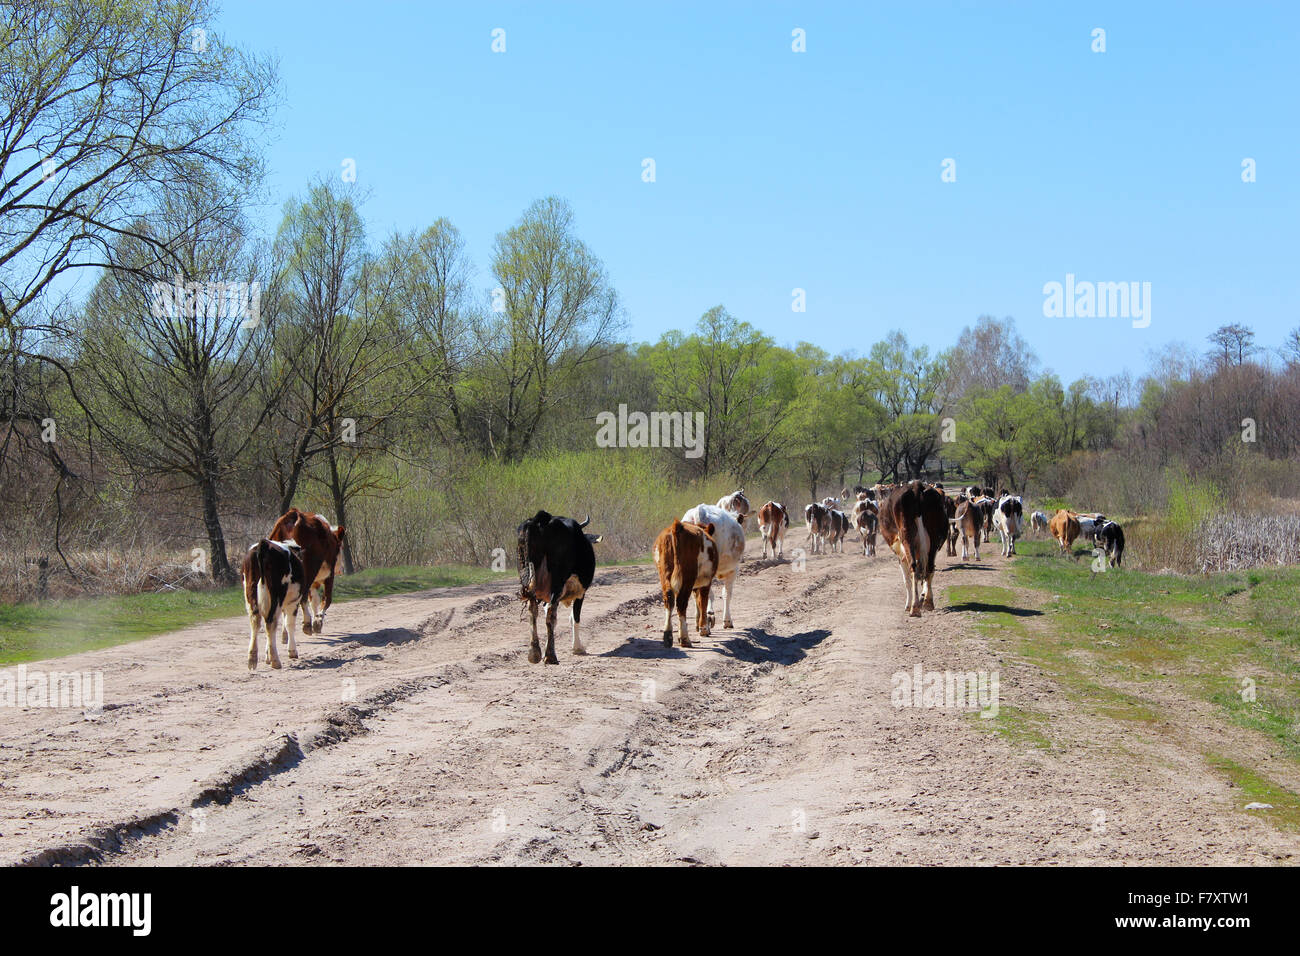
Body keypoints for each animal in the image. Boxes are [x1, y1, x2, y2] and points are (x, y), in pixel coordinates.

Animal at [242, 538, 306, 671]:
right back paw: (275, 660)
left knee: (256, 621)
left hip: (250, 593)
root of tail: (264, 544)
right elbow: (289, 624)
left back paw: (252, 659)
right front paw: (292, 651)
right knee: (270, 623)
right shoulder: (293, 602)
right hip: (276, 597)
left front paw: (267, 656)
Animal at [517, 511, 599, 664]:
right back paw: (550, 655)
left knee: (532, 611)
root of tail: (541, 520)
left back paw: (534, 653)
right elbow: (575, 618)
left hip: (527, 576)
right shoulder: (580, 592)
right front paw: (578, 648)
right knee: (550, 615)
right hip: (557, 583)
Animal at [653, 520, 719, 648]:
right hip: (688, 576)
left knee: (669, 599)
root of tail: (677, 526)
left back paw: (668, 637)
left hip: (665, 573)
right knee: (681, 603)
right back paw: (684, 639)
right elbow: (703, 601)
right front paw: (704, 628)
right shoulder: (706, 582)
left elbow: (698, 601)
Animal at [878, 480, 948, 617]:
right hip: (934, 538)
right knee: (929, 568)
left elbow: (907, 580)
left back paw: (914, 608)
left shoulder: (900, 554)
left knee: (914, 568)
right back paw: (928, 602)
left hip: (907, 537)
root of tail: (916, 486)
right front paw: (923, 596)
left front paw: (908, 605)